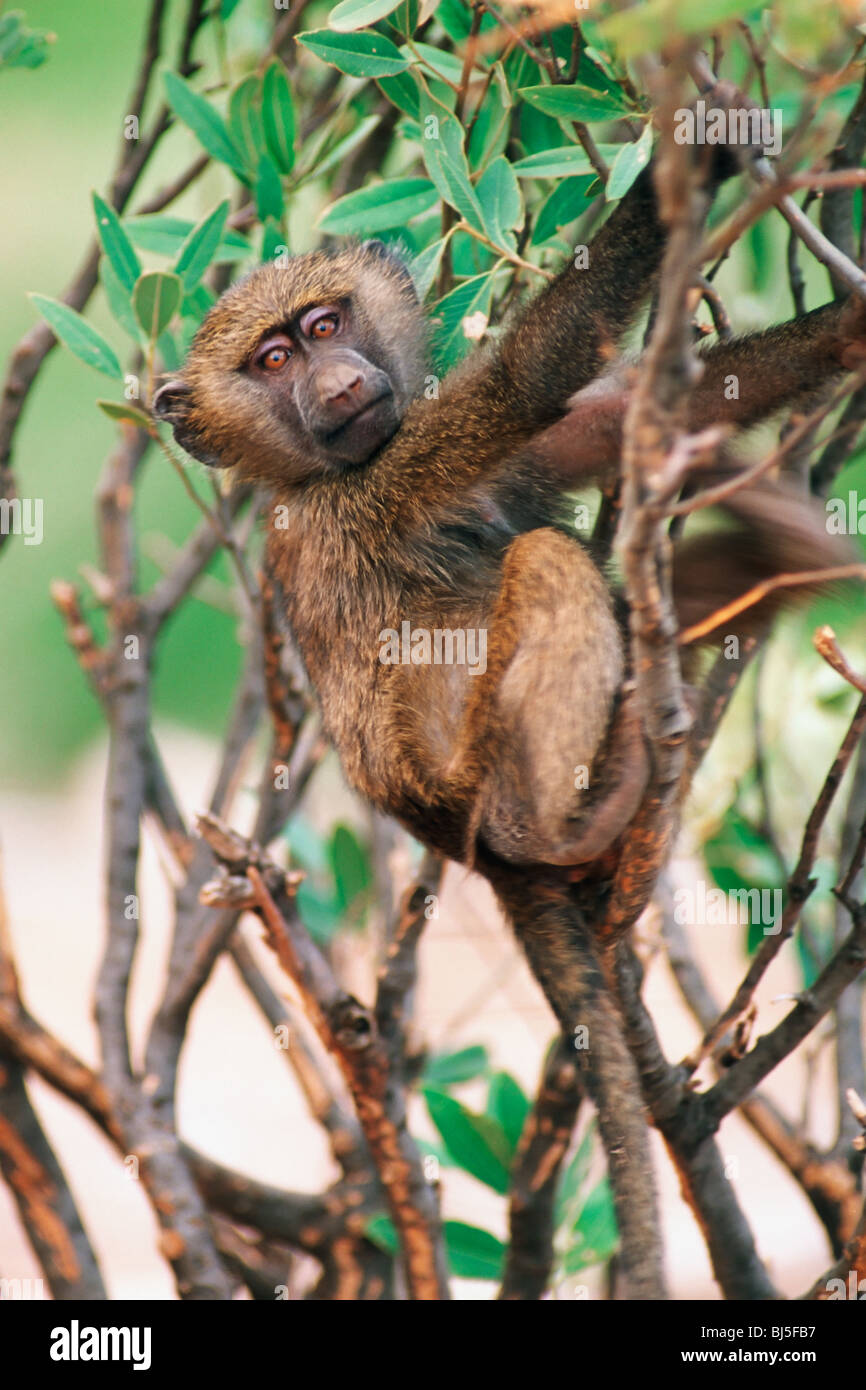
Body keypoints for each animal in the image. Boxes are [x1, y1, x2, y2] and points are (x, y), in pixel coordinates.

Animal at [153, 148, 866, 1298]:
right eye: (269, 359)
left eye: (324, 324)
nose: (338, 382)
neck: (319, 471)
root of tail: (473, 847)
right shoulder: (395, 473)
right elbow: (534, 374)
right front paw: (699, 142)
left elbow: (631, 406)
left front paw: (850, 325)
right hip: (494, 770)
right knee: (548, 561)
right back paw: (593, 805)